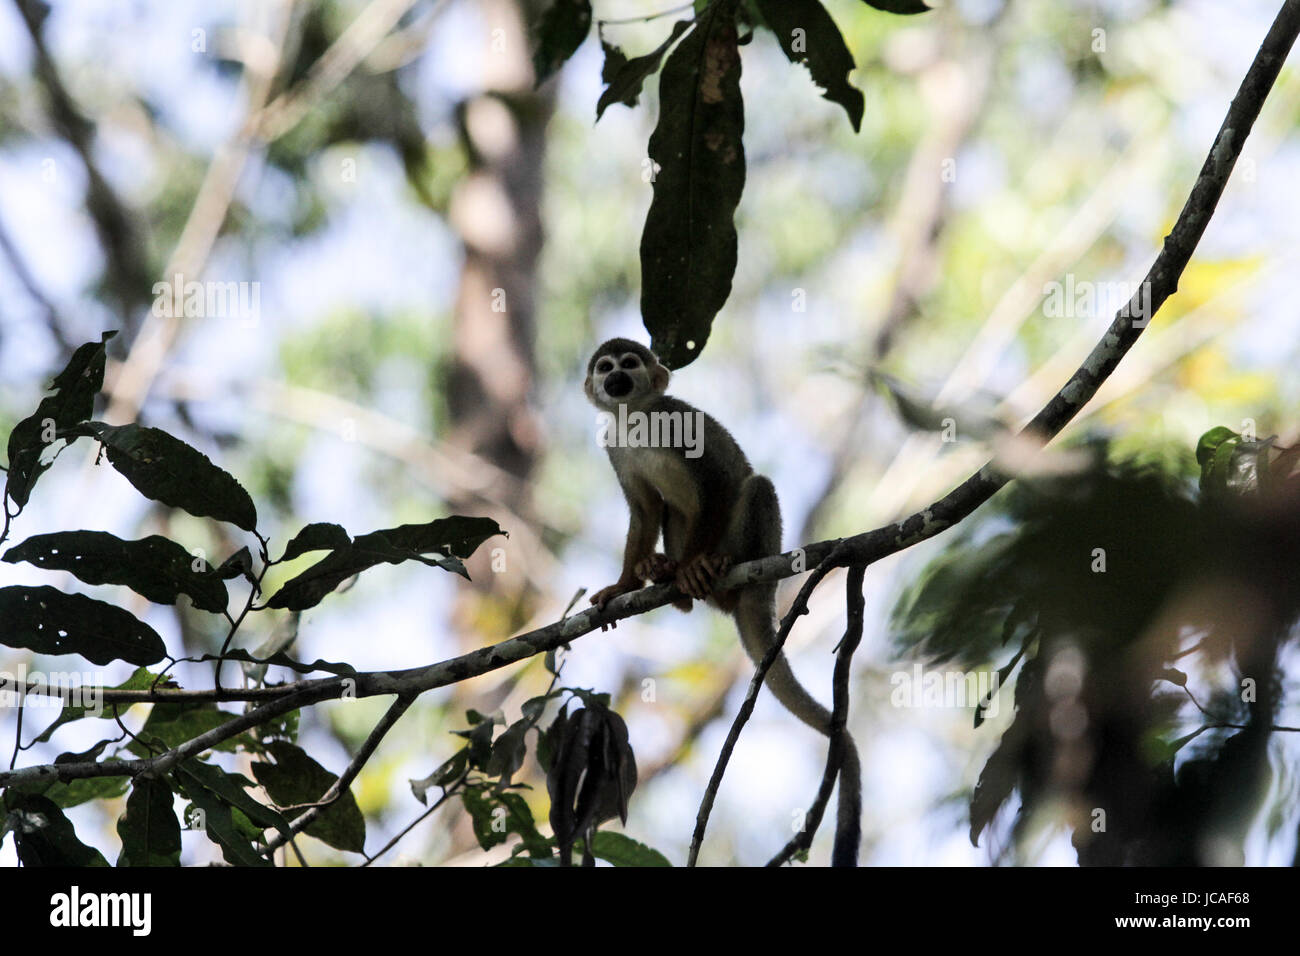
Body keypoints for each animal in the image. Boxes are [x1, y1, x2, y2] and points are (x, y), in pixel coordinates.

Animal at [583, 337, 862, 867]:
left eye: (629, 364)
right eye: (605, 367)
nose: (615, 379)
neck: (636, 417)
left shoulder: (674, 418)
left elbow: (715, 485)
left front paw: (690, 566)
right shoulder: (613, 446)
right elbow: (645, 511)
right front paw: (625, 583)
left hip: (761, 546)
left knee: (753, 486)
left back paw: (710, 568)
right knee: (672, 510)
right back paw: (669, 578)